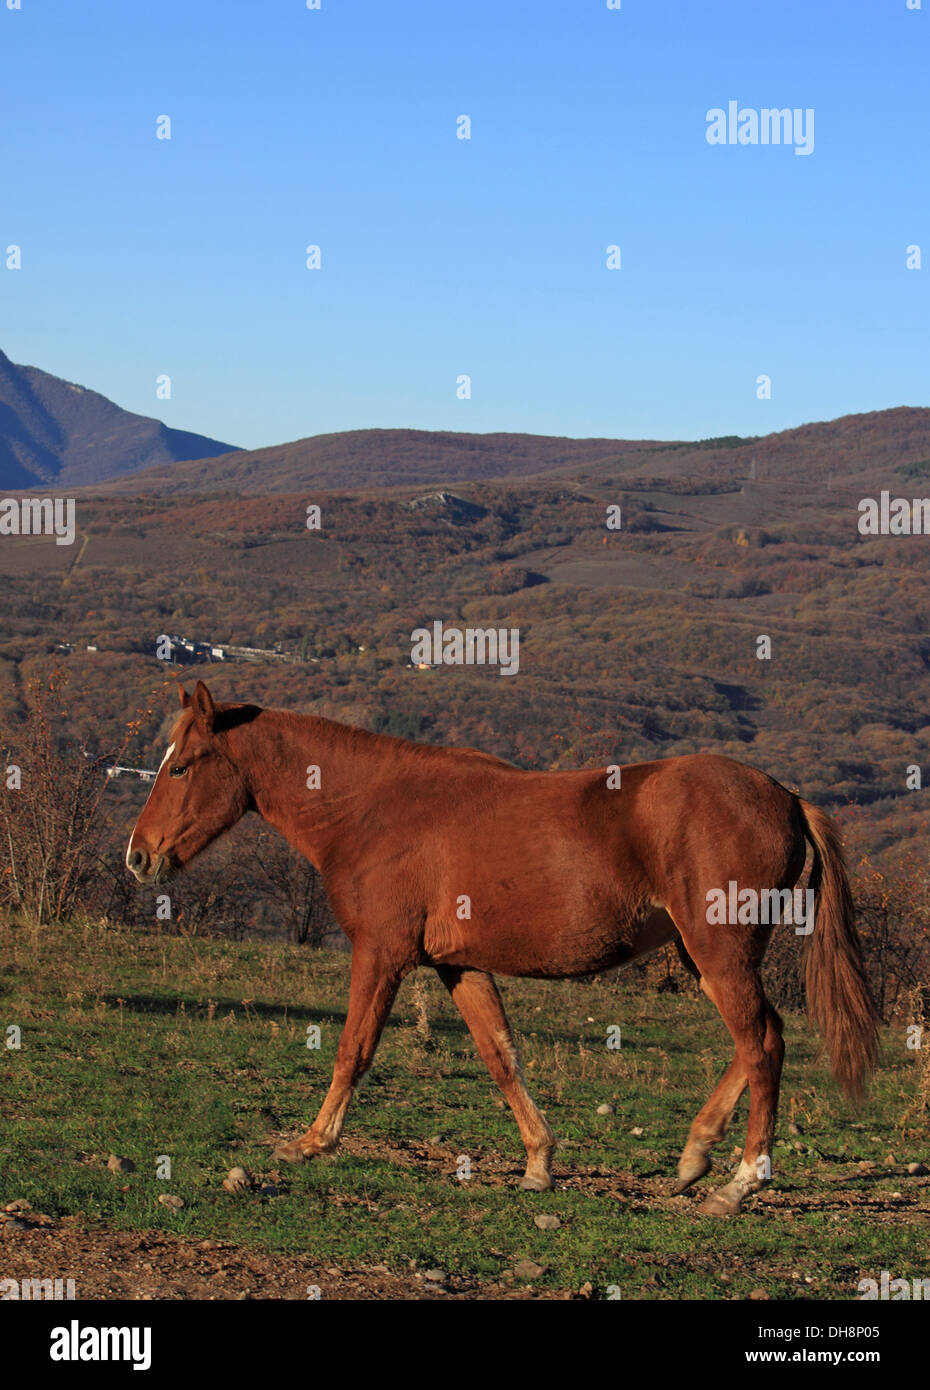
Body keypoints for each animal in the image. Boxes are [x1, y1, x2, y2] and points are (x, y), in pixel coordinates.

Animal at [126, 681, 879, 1215]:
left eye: (182, 767)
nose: (139, 857)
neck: (372, 808)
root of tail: (785, 796)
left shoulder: (382, 953)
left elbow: (354, 1049)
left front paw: (313, 1142)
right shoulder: (458, 966)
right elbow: (501, 1056)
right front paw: (539, 1164)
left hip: (721, 955)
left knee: (763, 1043)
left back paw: (738, 1185)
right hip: (705, 959)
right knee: (753, 1044)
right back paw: (694, 1159)